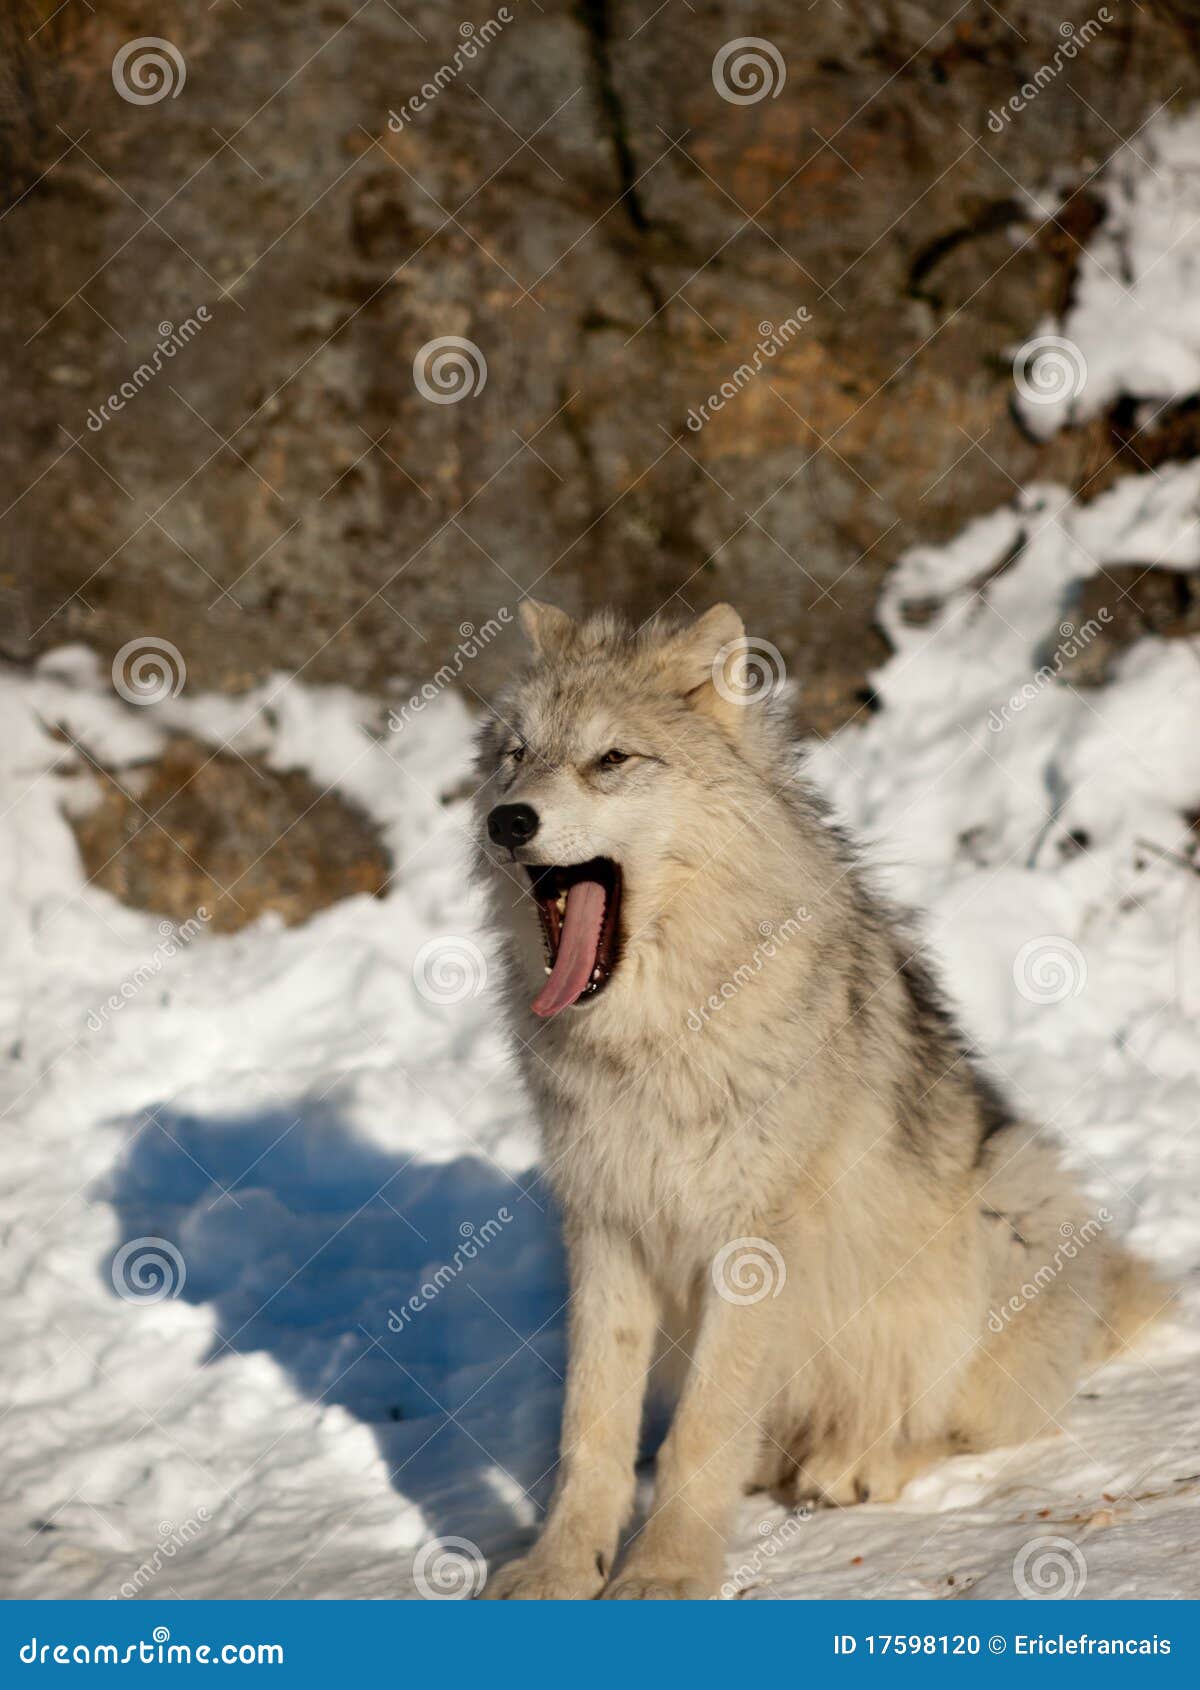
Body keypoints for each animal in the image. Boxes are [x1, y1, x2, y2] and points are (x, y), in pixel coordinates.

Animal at [472, 600, 1161, 1600]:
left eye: (611, 759)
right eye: (514, 756)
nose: (507, 820)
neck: (656, 1041)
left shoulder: (753, 1239)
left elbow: (701, 1434)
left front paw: (666, 1572)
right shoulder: (605, 1228)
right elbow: (590, 1432)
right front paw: (561, 1566)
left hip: (1010, 1192)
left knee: (973, 1426)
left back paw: (860, 1461)